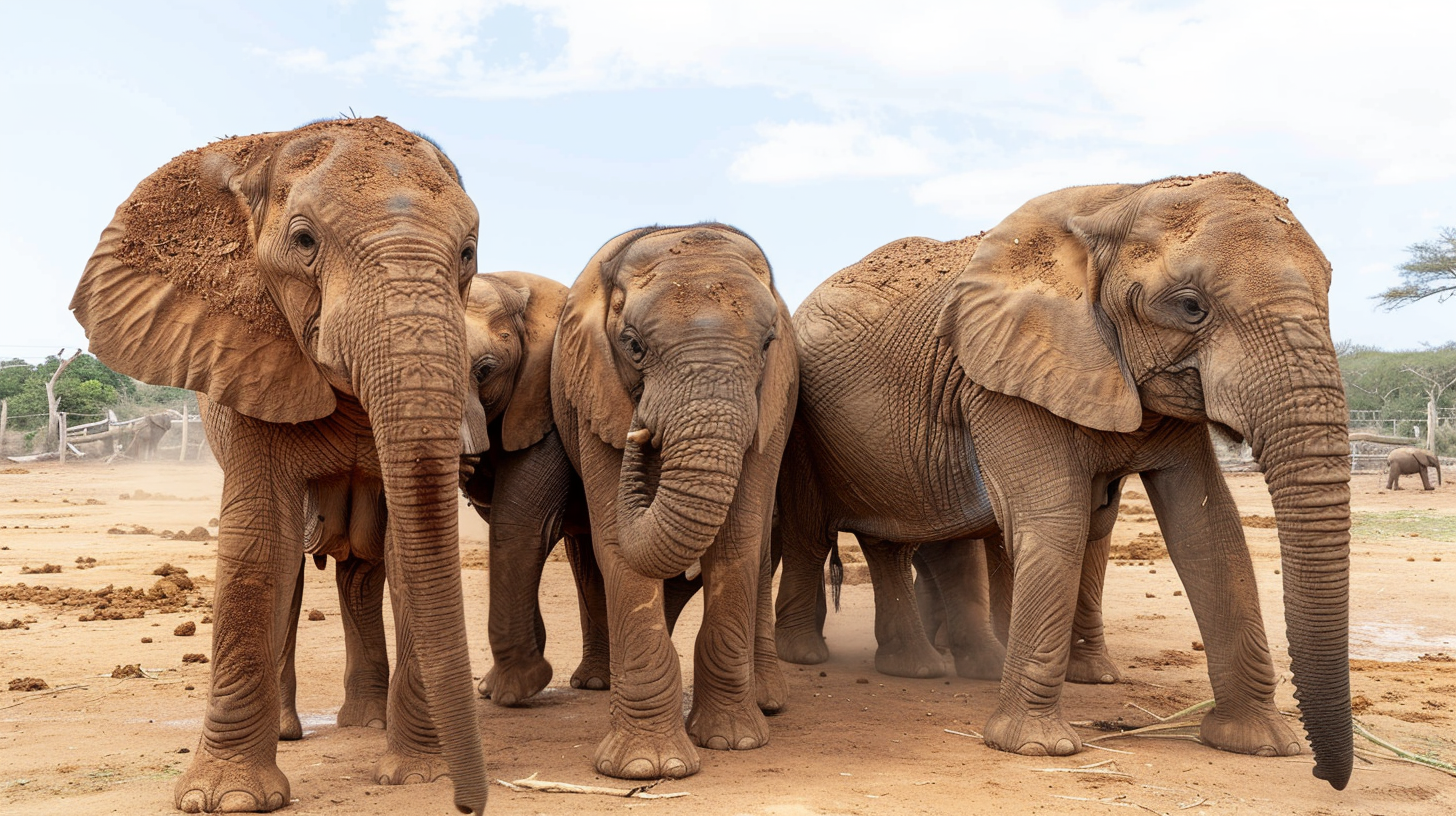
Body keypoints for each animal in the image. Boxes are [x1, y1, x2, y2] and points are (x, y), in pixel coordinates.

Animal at [70, 117, 491, 814]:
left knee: (361, 573)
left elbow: (409, 550)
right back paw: (293, 732)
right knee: (290, 568)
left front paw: (417, 778)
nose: (468, 803)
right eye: (303, 241)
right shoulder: (239, 355)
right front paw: (226, 800)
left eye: (467, 254)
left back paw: (365, 723)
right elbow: (259, 544)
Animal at [551, 223, 798, 780]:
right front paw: (647, 768)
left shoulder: (769, 409)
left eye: (767, 344)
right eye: (633, 346)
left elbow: (738, 541)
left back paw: (767, 704)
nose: (642, 431)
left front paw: (733, 741)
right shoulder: (592, 392)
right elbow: (616, 548)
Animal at [774, 173, 1353, 789]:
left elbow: (1208, 530)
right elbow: (1054, 523)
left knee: (898, 542)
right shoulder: (1001, 377)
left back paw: (935, 669)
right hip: (802, 428)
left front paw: (1261, 745)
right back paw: (812, 658)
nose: (1328, 777)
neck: (1122, 200)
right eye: (1190, 307)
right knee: (814, 532)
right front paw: (1036, 748)